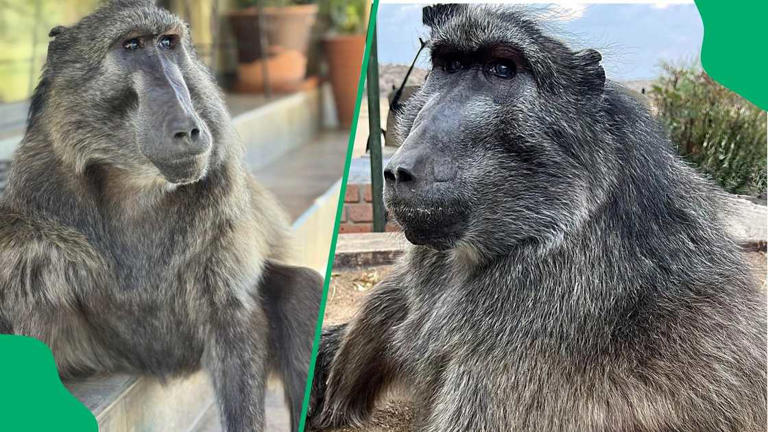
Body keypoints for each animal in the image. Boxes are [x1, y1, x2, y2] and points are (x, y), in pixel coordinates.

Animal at [0, 1, 321, 431]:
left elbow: (233, 320)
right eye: (131, 45)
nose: (189, 128)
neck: (134, 186)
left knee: (303, 290)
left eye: (168, 43)